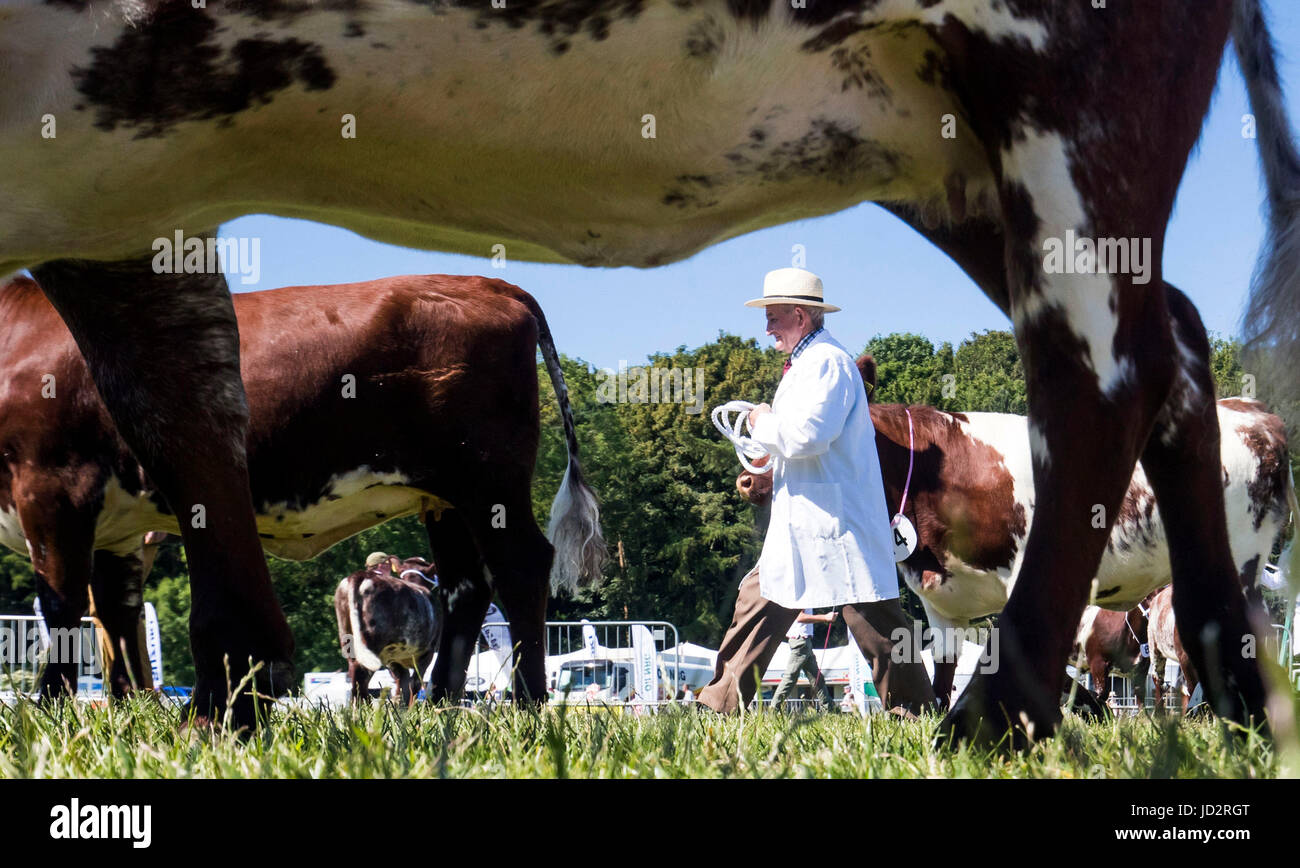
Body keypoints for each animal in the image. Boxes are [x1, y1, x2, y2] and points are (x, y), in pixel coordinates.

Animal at [335, 556, 443, 706]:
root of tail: (360, 575)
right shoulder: (428, 652)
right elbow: (414, 684)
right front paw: (410, 709)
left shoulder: (394, 659)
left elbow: (401, 685)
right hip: (372, 641)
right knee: (362, 679)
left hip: (348, 639)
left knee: (356, 679)